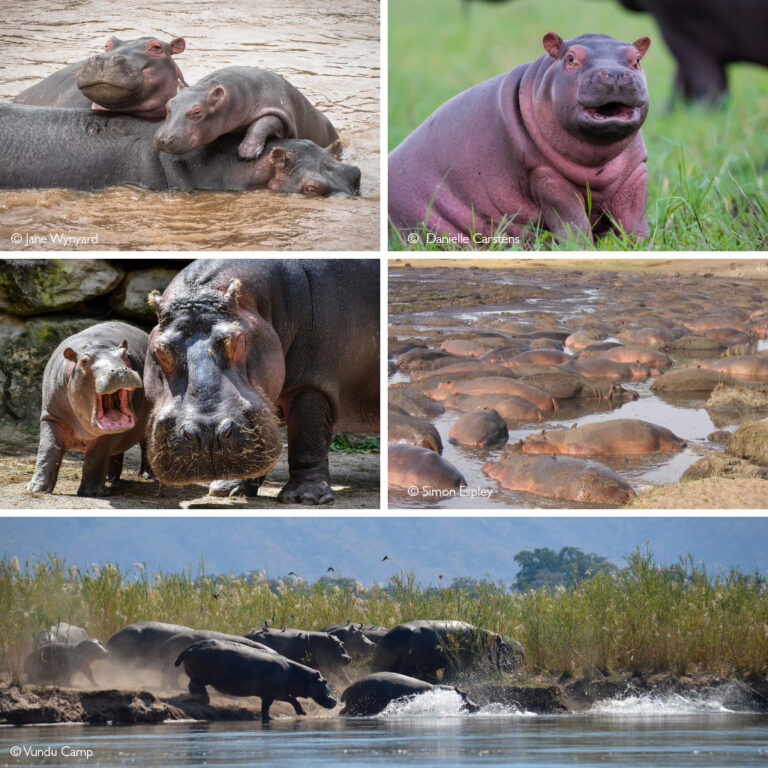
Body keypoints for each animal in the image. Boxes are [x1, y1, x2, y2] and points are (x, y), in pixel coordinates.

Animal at [25, 322, 149, 497]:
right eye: (84, 360)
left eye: (126, 354)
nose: (119, 371)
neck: (96, 346)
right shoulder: (51, 417)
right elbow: (48, 449)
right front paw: (35, 488)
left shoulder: (107, 436)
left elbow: (97, 457)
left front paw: (91, 493)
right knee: (117, 452)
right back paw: (111, 479)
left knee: (146, 445)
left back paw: (146, 475)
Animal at [144, 260, 378, 504]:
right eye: (159, 350)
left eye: (238, 340)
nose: (207, 433)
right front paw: (228, 490)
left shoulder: (312, 384)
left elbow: (307, 438)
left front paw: (304, 497)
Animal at [154, 66, 340, 161]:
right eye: (169, 104)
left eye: (197, 111)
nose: (164, 139)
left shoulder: (278, 109)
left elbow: (263, 123)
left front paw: (247, 152)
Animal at [175, 639, 337, 722]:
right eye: (324, 682)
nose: (335, 700)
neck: (300, 675)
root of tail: (189, 648)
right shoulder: (270, 695)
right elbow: (266, 707)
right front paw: (269, 719)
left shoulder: (279, 692)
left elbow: (293, 700)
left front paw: (302, 713)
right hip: (200, 677)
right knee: (201, 693)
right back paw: (185, 699)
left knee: (195, 689)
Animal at [389, 32, 651, 243]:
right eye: (570, 58)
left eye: (637, 59)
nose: (616, 73)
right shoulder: (546, 177)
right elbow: (573, 221)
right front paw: (580, 247)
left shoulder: (636, 173)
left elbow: (634, 220)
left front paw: (640, 246)